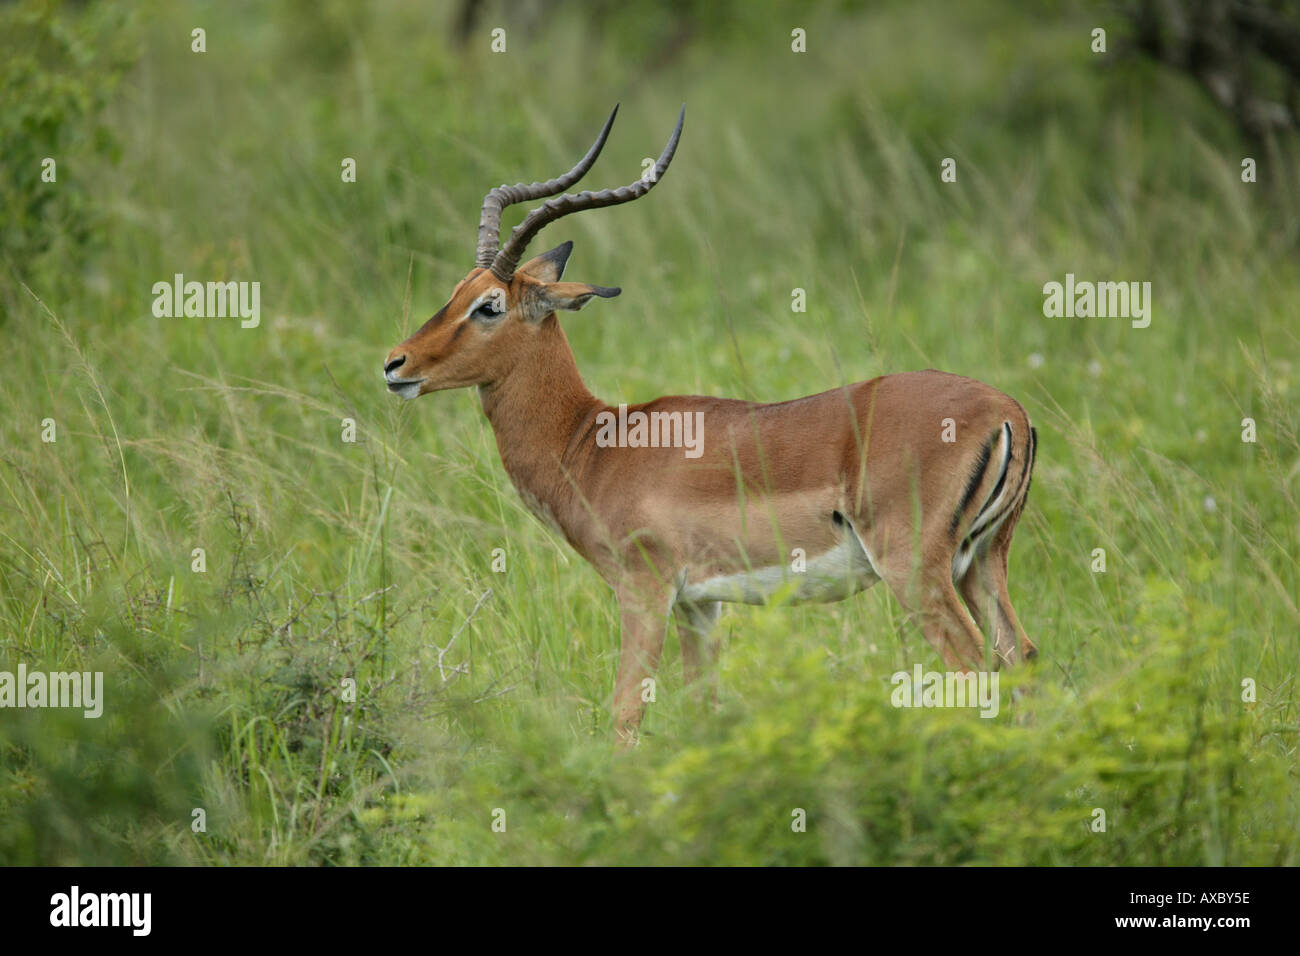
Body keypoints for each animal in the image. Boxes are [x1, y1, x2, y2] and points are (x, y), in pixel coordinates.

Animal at [384, 106, 1038, 743]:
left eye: (488, 305)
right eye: (455, 291)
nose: (396, 363)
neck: (592, 444)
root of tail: (1010, 412)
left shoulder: (645, 591)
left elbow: (626, 712)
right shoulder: (699, 605)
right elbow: (707, 710)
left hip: (916, 572)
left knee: (975, 666)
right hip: (982, 562)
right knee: (1020, 657)